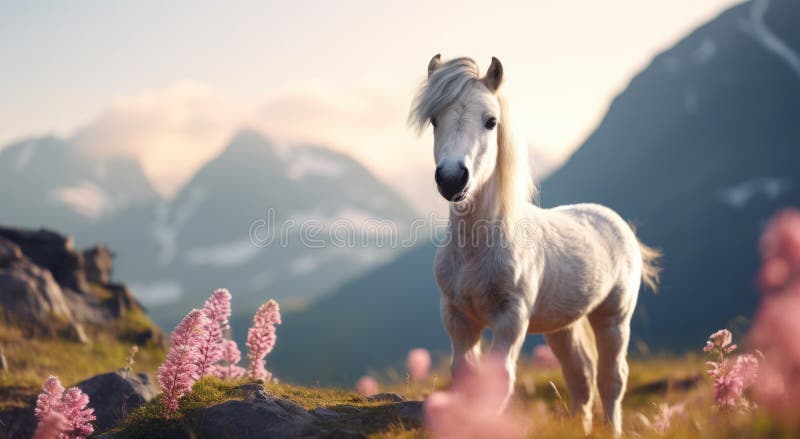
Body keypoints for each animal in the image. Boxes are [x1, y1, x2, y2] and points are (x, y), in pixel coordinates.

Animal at [409, 54, 660, 436]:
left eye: (490, 121)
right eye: (435, 119)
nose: (452, 178)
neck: (476, 249)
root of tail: (616, 222)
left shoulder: (511, 318)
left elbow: (499, 378)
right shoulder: (457, 317)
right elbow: (465, 375)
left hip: (613, 318)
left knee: (612, 379)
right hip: (562, 326)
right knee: (581, 375)